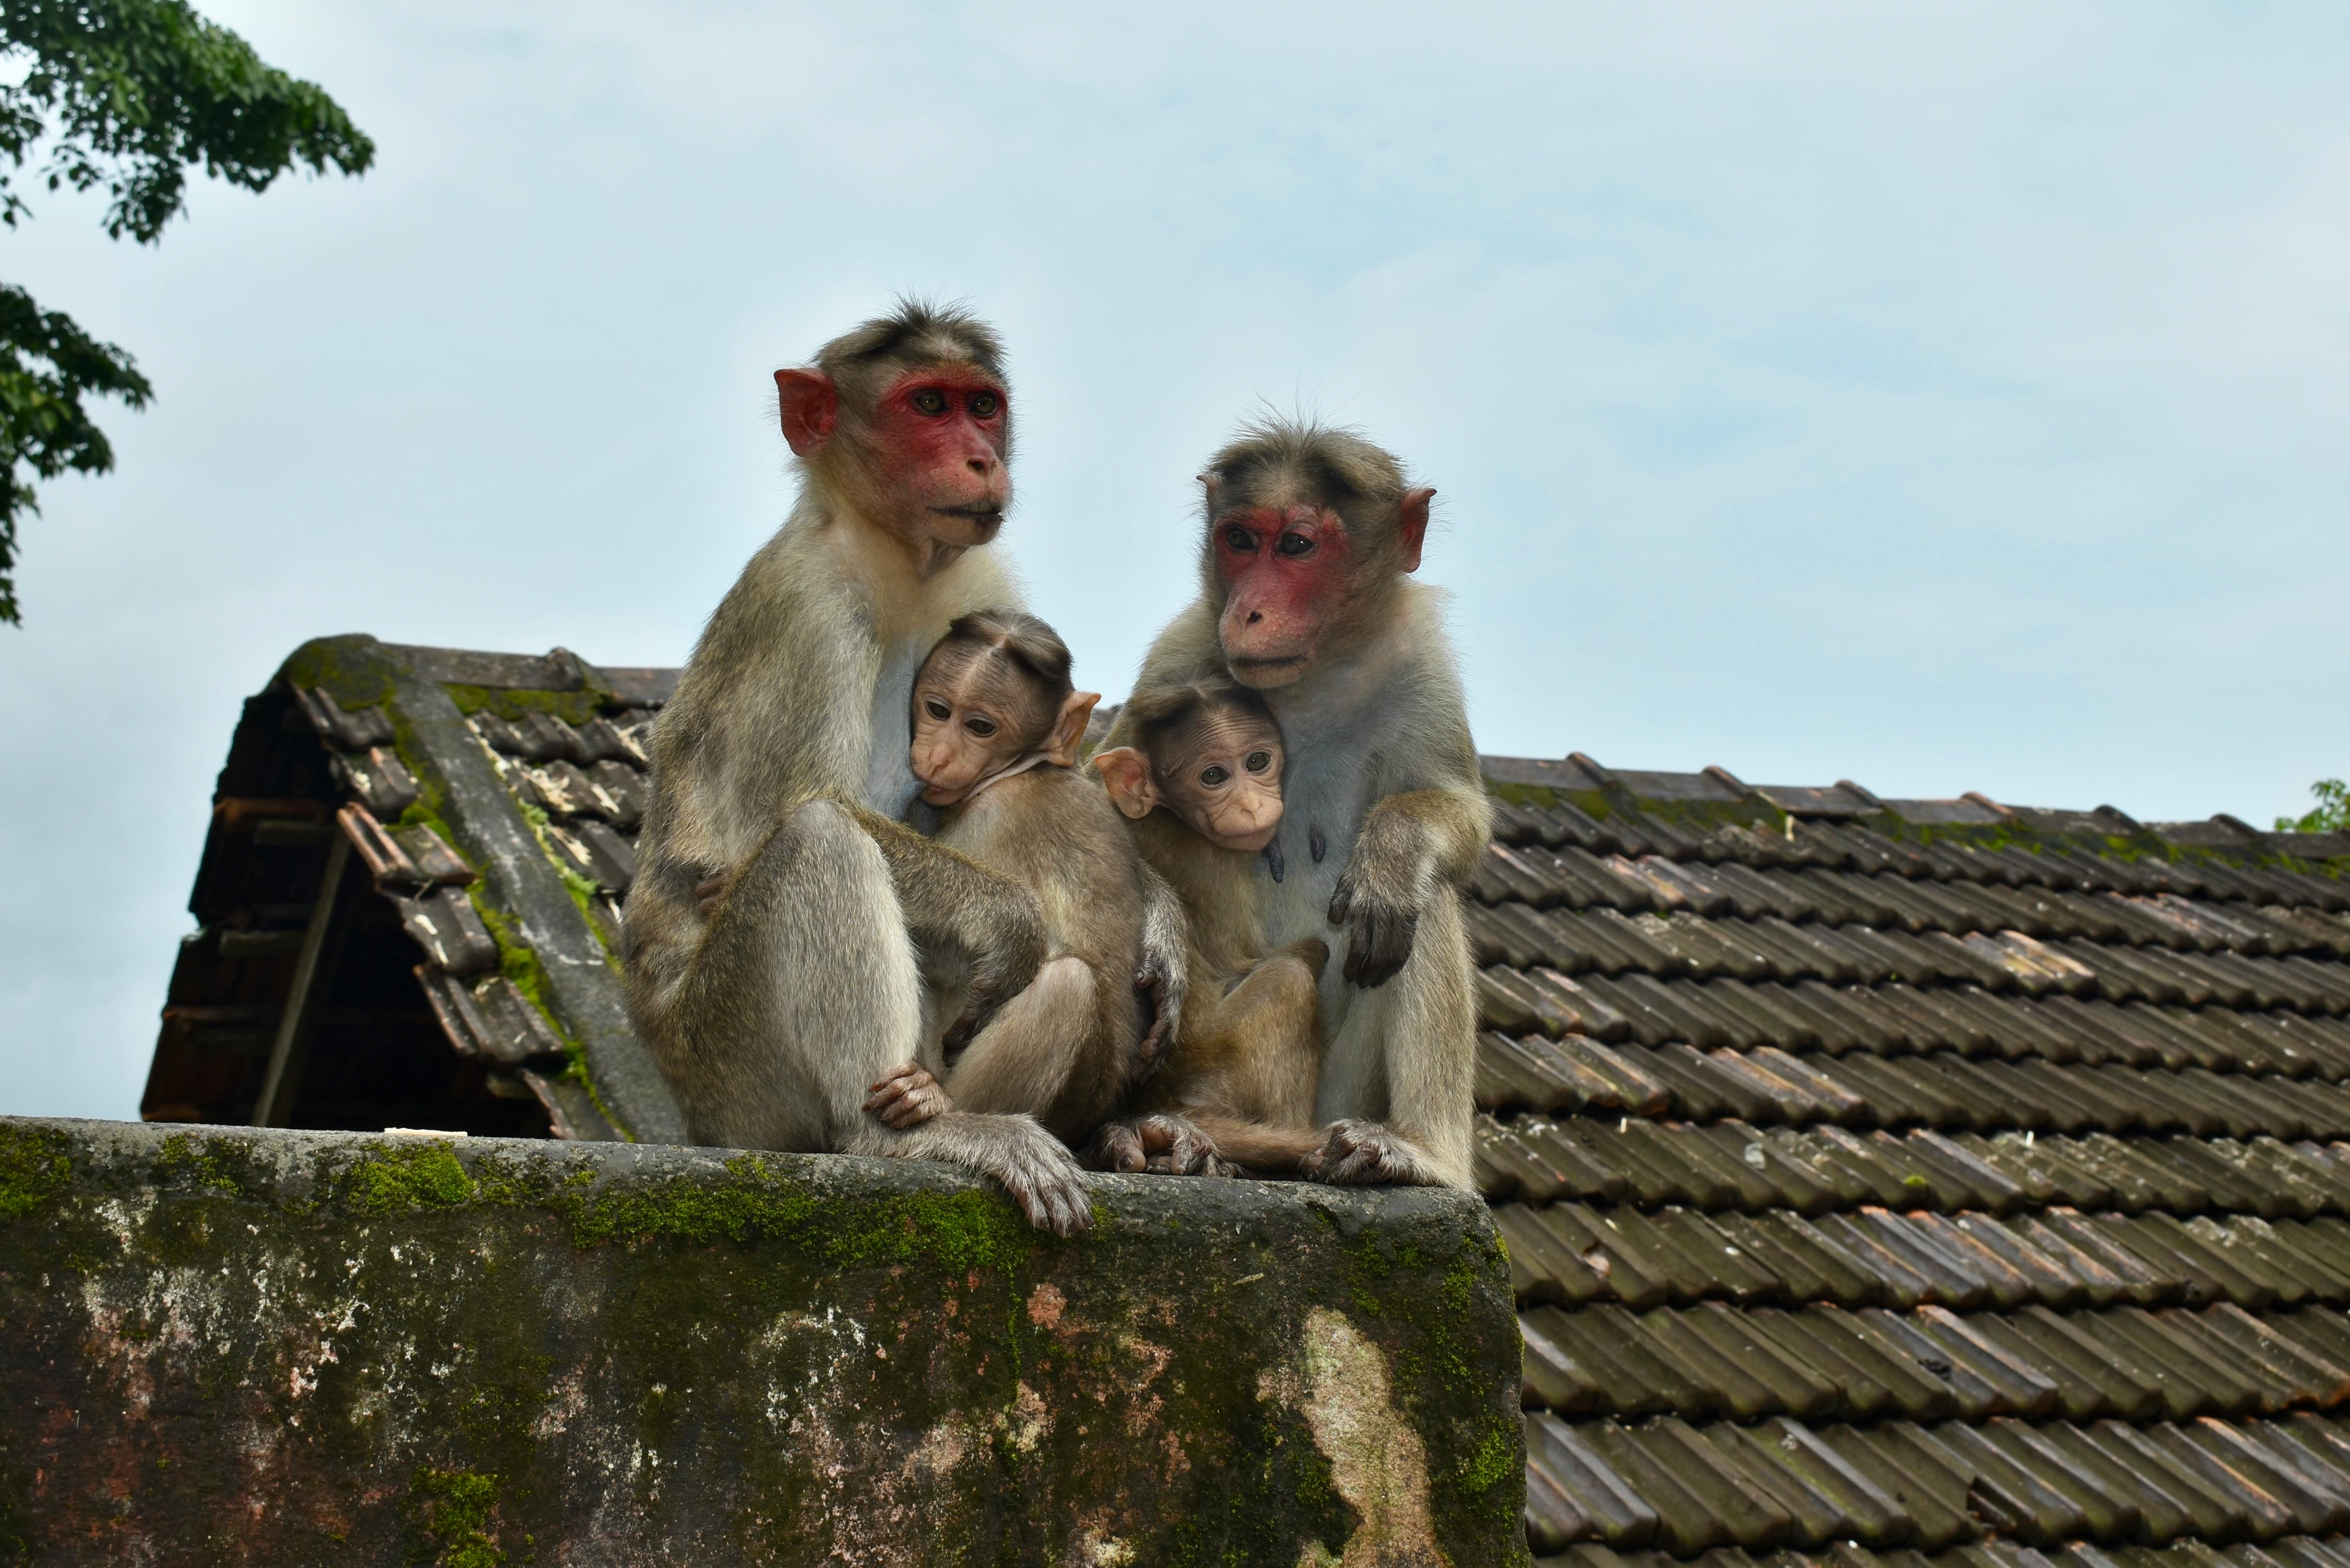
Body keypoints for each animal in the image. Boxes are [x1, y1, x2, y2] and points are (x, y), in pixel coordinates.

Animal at [858, 610, 1147, 1148]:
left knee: (1068, 984)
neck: (1020, 769)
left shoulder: (993, 817)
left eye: (980, 727)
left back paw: (944, 1108)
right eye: (938, 710)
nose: (939, 755)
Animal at [1086, 680, 1335, 1177]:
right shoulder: (1208, 861)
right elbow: (1281, 956)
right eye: (1213, 776)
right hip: (1215, 1074)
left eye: (1257, 762)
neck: (1167, 812)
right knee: (1288, 981)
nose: (1251, 805)